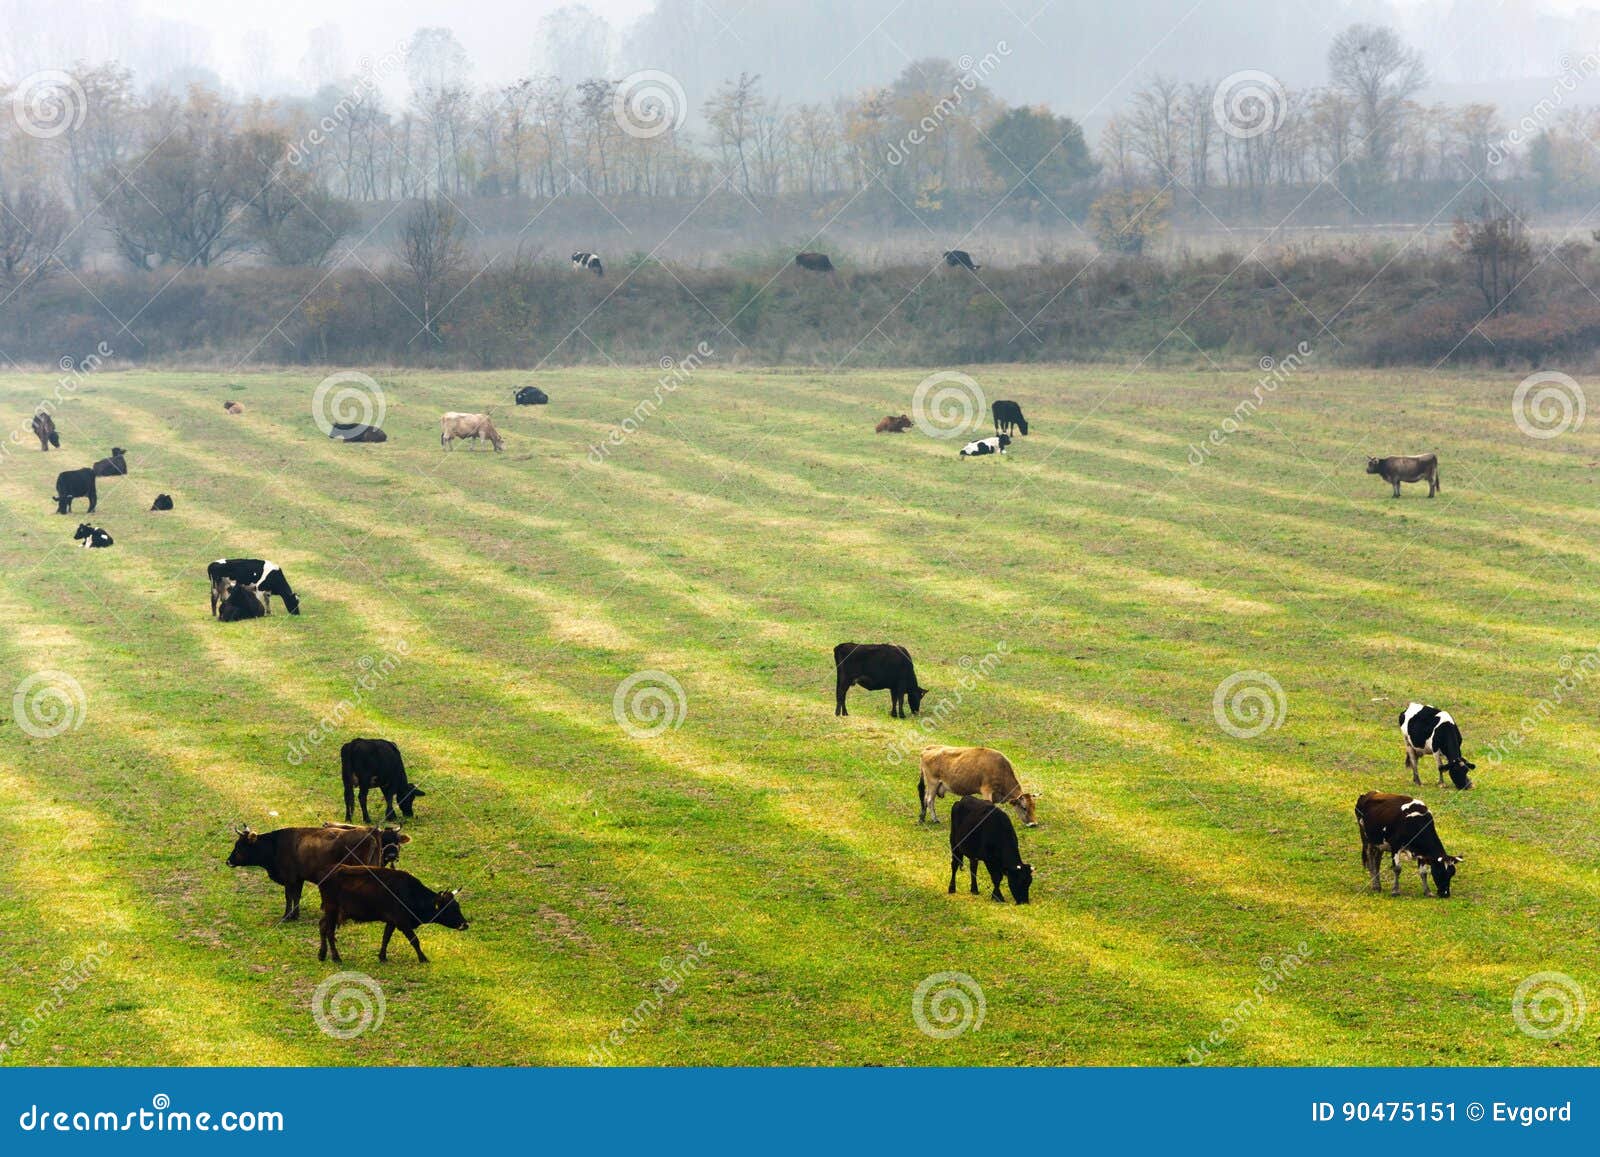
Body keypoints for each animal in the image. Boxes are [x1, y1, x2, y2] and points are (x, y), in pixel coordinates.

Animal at [225, 823, 410, 921]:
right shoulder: (298, 879)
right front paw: (295, 915)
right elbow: (296, 896)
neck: (276, 845)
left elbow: (289, 896)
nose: (228, 861)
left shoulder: (290, 879)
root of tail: (369, 831)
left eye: (239, 845)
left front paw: (286, 916)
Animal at [317, 866, 468, 963]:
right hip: (332, 910)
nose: (465, 924)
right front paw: (423, 958)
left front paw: (382, 957)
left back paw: (322, 954)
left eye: (457, 906)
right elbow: (414, 940)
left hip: (330, 912)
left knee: (322, 926)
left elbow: (386, 938)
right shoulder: (402, 922)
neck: (411, 893)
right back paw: (336, 957)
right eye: (449, 909)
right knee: (329, 932)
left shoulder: (391, 921)